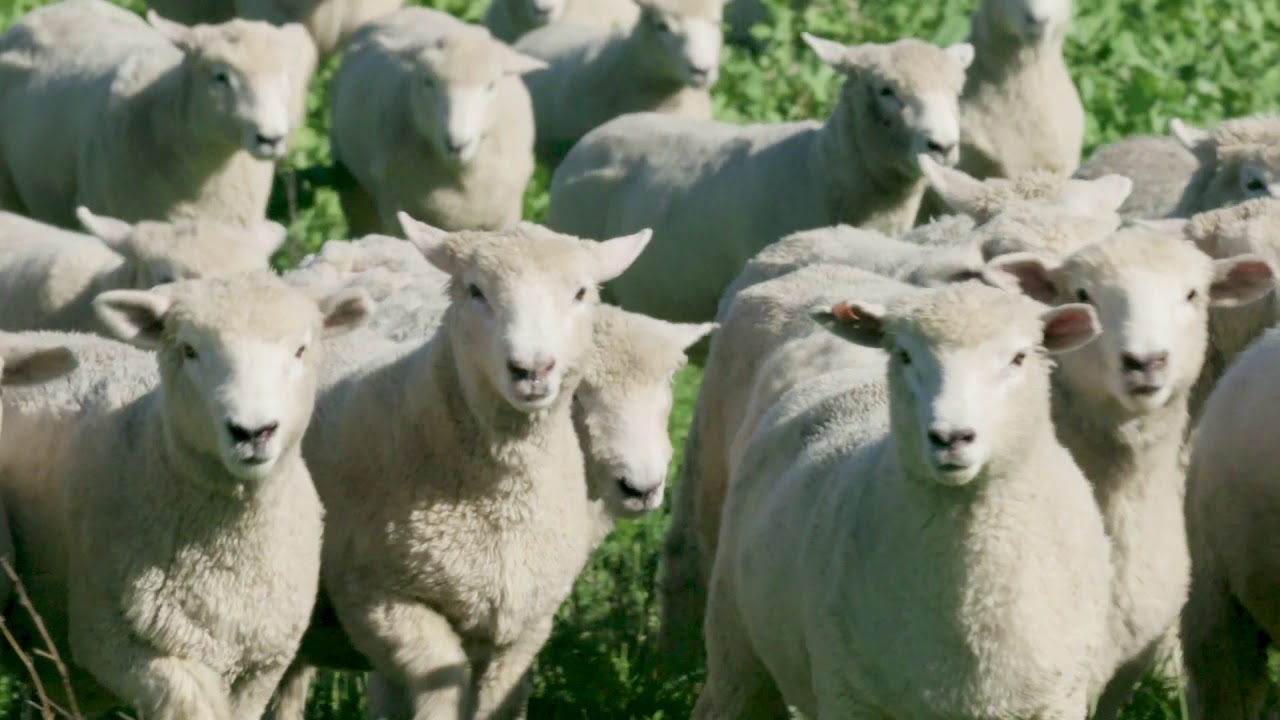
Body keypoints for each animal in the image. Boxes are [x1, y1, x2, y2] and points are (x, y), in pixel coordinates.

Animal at [330, 7, 545, 236]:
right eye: (428, 81)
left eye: (491, 85)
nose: (457, 144)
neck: (462, 178)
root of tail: (411, 9)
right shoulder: (396, 213)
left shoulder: (504, 217)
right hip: (351, 183)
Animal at [694, 281, 1111, 719]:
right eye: (905, 355)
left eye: (1019, 358)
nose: (951, 437)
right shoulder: (848, 694)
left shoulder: (1058, 699)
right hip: (735, 641)